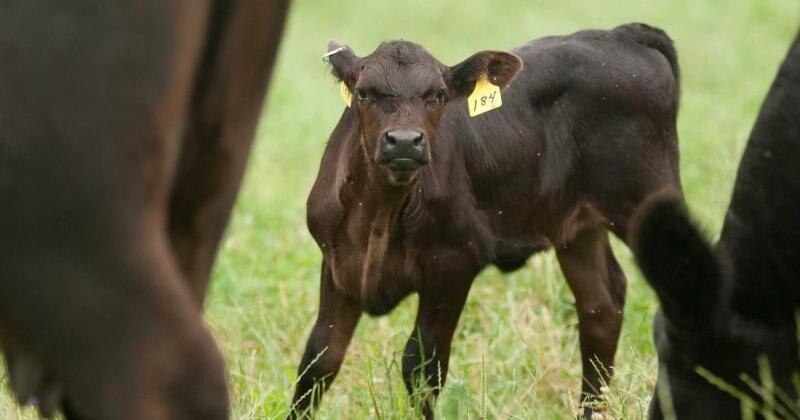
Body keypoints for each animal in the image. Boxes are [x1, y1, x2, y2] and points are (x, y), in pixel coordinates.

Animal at [290, 23, 681, 419]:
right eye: (364, 93)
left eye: (438, 94)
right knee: (601, 304)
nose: (403, 142)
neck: (377, 220)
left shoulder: (454, 262)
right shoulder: (337, 264)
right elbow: (319, 359)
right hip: (576, 227)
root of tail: (622, 35)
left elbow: (422, 364)